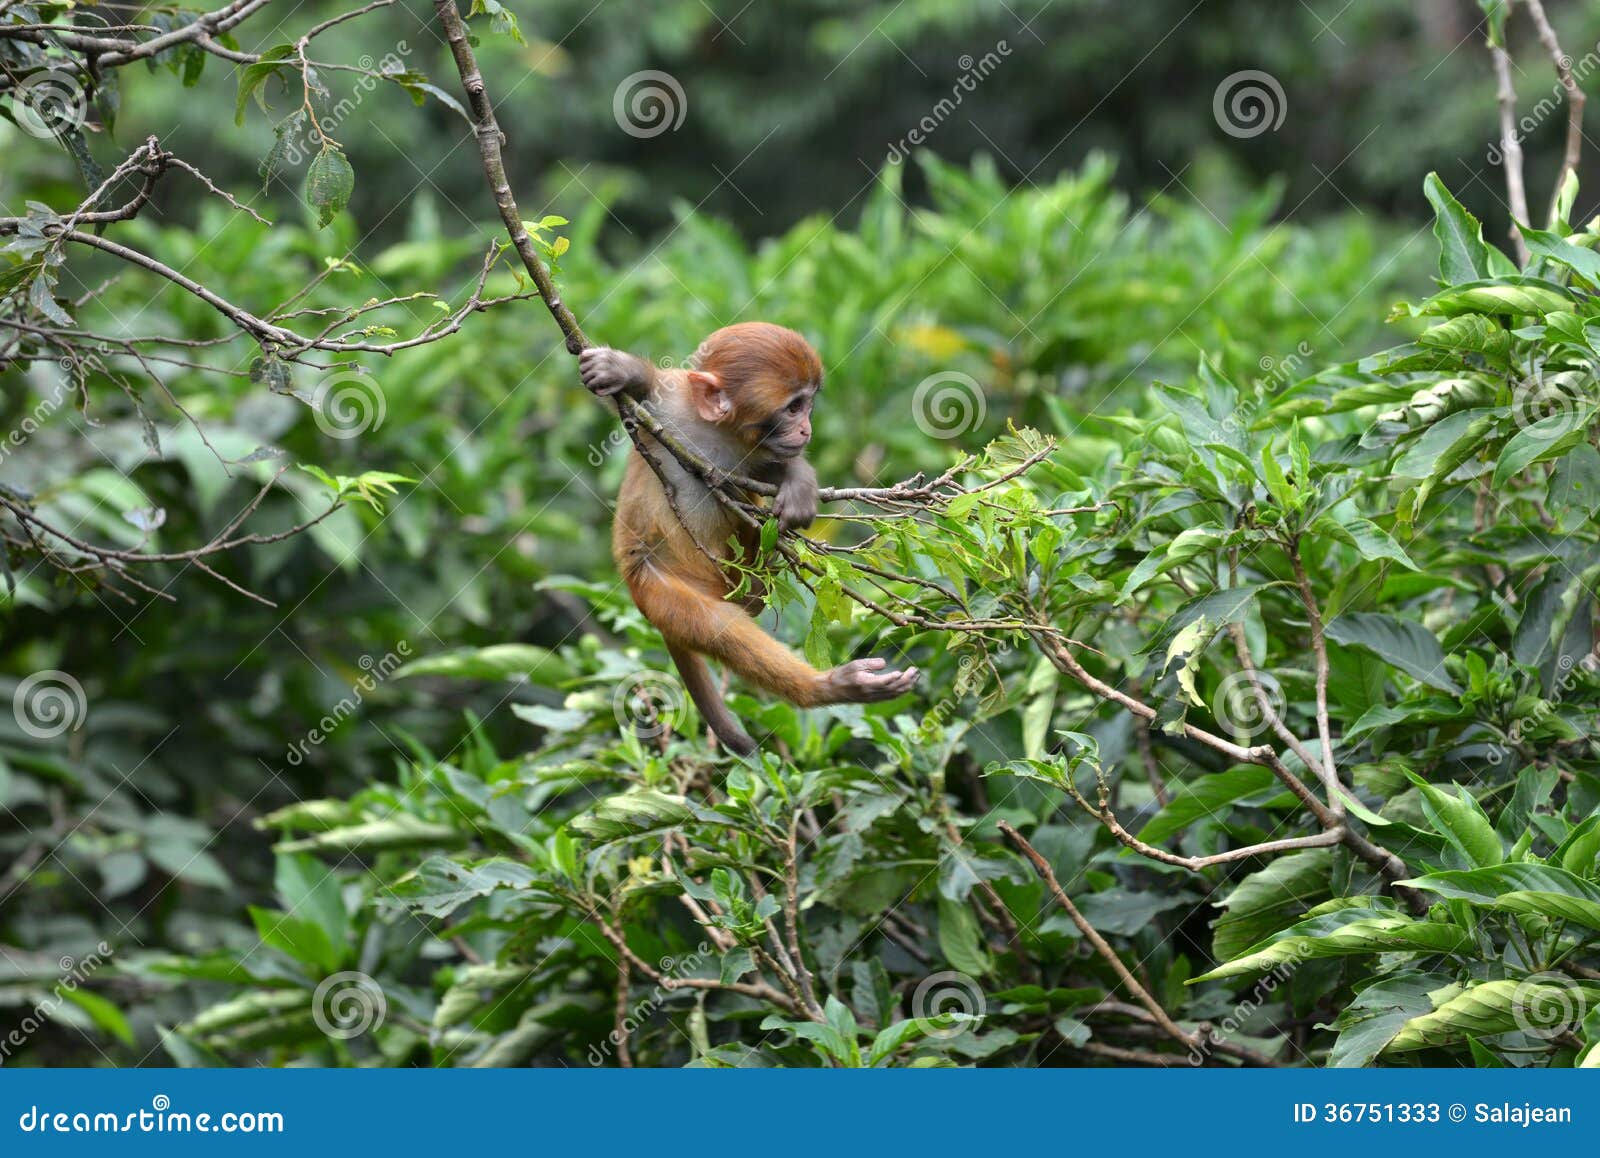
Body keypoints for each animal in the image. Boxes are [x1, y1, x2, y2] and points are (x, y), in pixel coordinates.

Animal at [579, 322, 919, 756]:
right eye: (793, 408)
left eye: (808, 406)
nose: (807, 429)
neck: (719, 433)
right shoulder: (671, 410)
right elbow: (640, 400)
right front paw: (622, 371)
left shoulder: (753, 451)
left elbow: (767, 473)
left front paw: (798, 485)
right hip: (655, 585)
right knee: (714, 625)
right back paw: (825, 687)